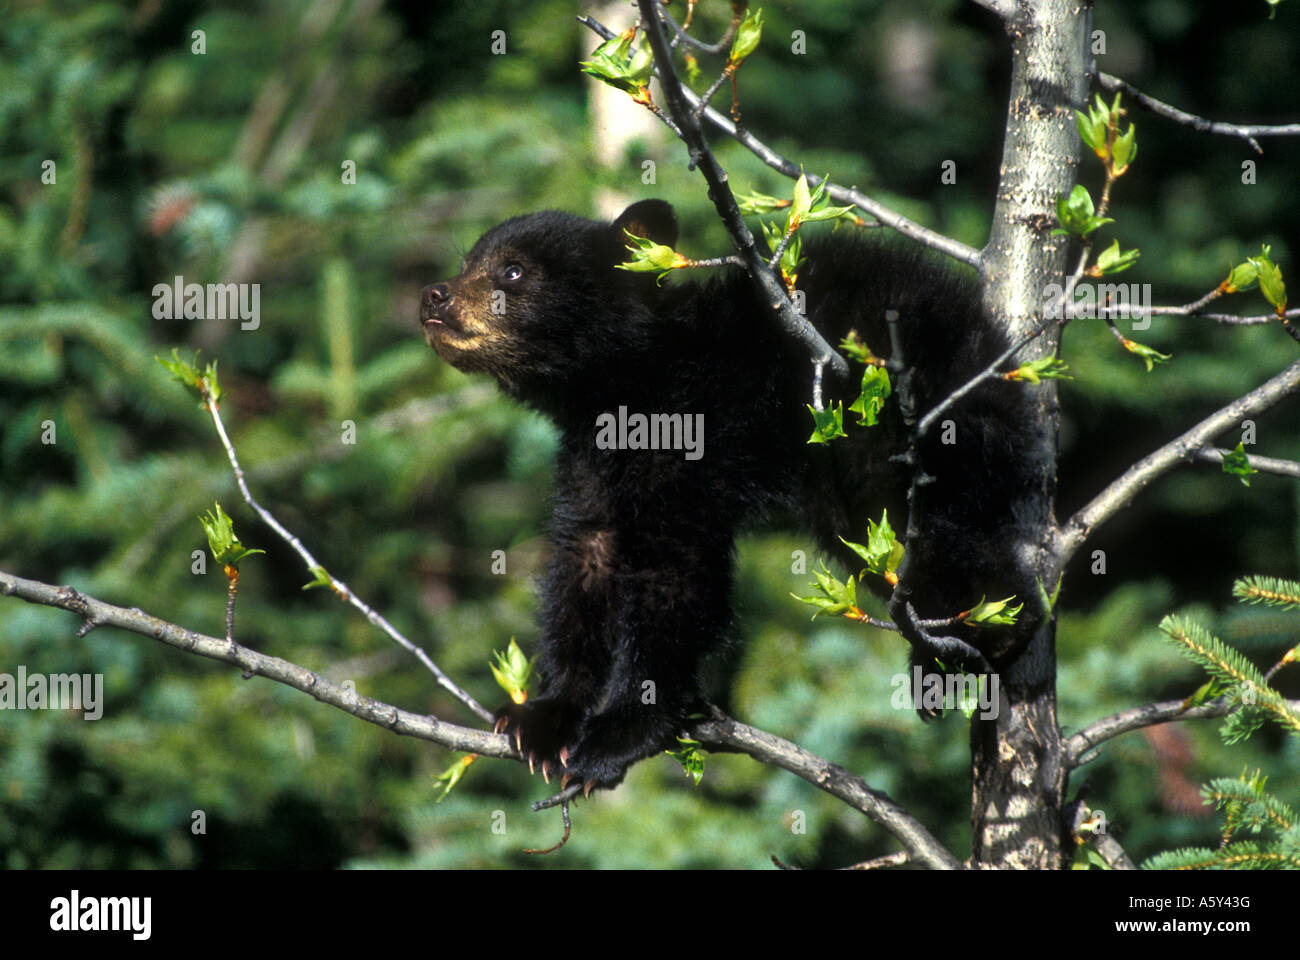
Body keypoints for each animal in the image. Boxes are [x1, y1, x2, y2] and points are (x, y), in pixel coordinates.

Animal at [419, 199, 1037, 793]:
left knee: (933, 525)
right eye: (469, 260)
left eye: (513, 270)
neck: (627, 384)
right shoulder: (591, 469)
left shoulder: (688, 447)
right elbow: (584, 562)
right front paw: (546, 717)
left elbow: (678, 576)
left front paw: (620, 734)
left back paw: (988, 632)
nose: (432, 294)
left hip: (911, 416)